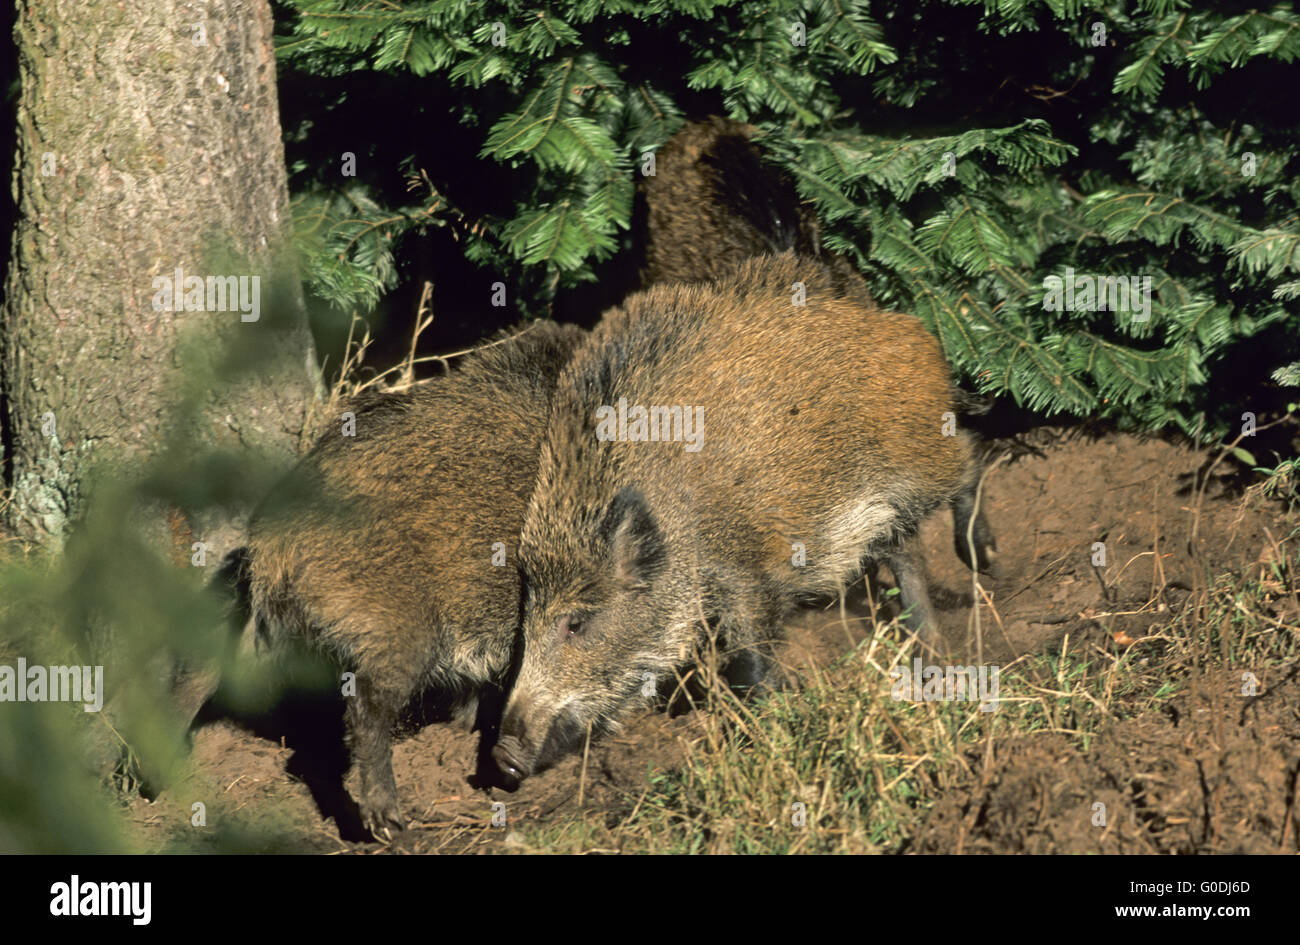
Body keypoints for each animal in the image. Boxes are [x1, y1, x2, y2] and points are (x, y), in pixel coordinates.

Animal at [492, 253, 993, 784]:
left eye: (577, 623)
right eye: (527, 621)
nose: (502, 757)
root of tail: (910, 330)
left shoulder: (748, 570)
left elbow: (750, 656)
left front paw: (764, 723)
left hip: (922, 458)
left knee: (971, 457)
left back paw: (985, 561)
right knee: (907, 554)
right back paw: (931, 654)